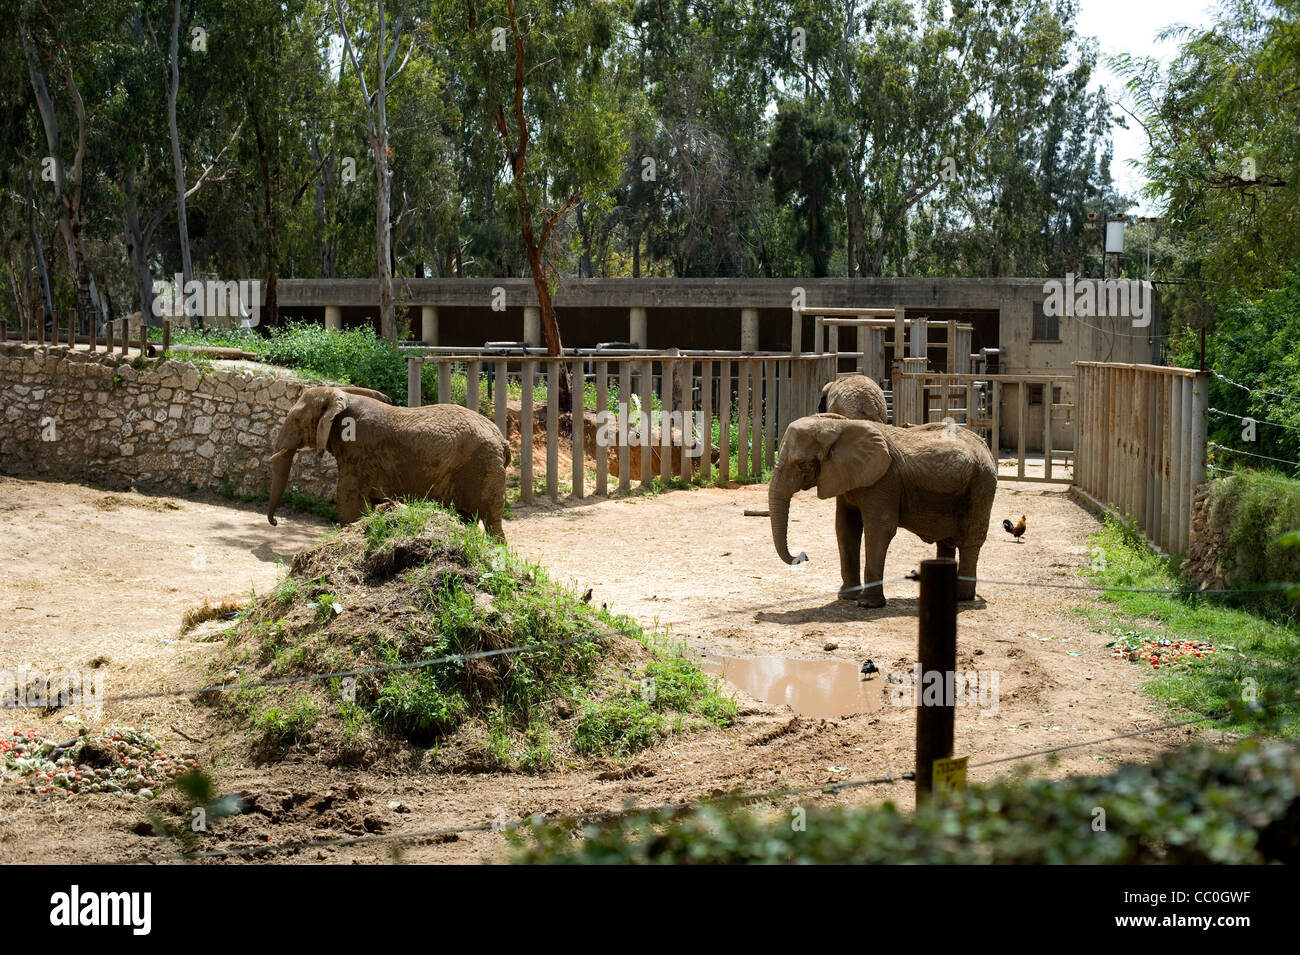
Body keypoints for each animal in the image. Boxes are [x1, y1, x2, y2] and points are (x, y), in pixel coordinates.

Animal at [267, 386, 510, 538]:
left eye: (297, 419)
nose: (275, 522)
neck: (341, 394)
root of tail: (502, 439)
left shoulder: (359, 449)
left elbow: (348, 501)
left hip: (482, 466)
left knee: (491, 521)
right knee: (467, 517)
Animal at [769, 413, 997, 607]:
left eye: (802, 464)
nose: (803, 556)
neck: (838, 425)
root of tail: (985, 447)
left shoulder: (885, 478)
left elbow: (879, 529)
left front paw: (867, 604)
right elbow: (845, 527)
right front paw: (846, 597)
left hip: (981, 485)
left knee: (970, 541)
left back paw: (962, 597)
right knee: (946, 541)